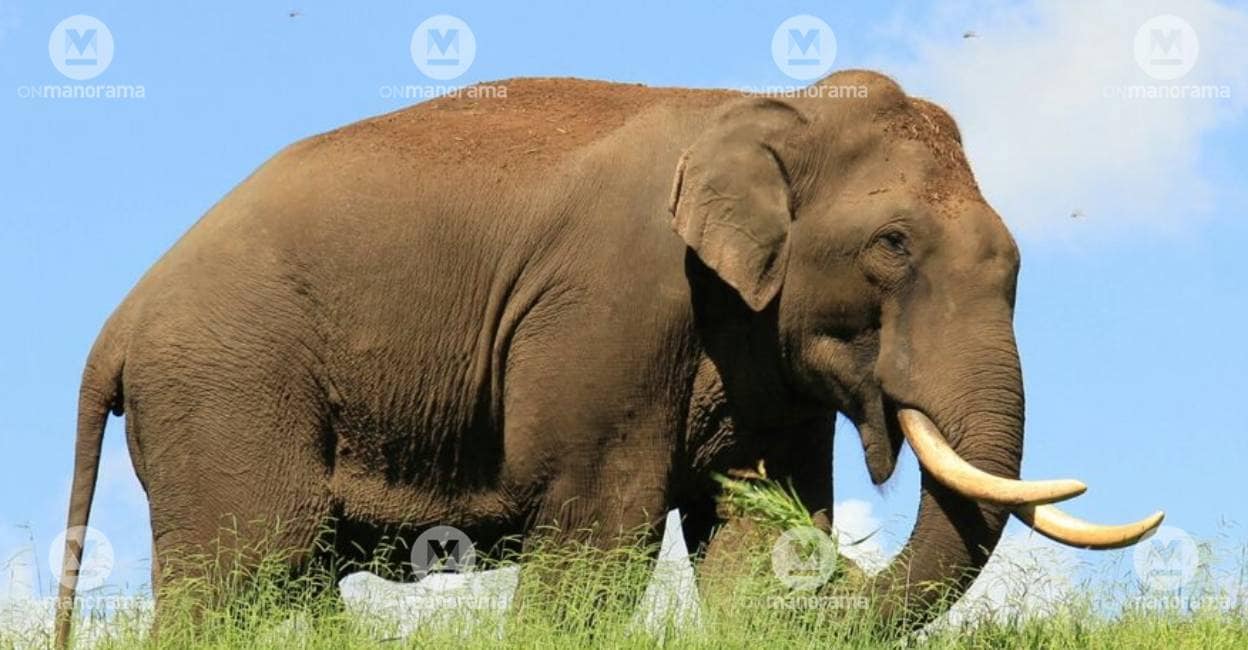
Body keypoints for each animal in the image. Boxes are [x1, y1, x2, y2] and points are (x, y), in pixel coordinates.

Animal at [54, 70, 1162, 646]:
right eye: (892, 245)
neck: (769, 104)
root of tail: (117, 323)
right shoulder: (611, 307)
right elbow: (598, 525)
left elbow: (748, 542)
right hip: (226, 386)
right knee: (242, 570)